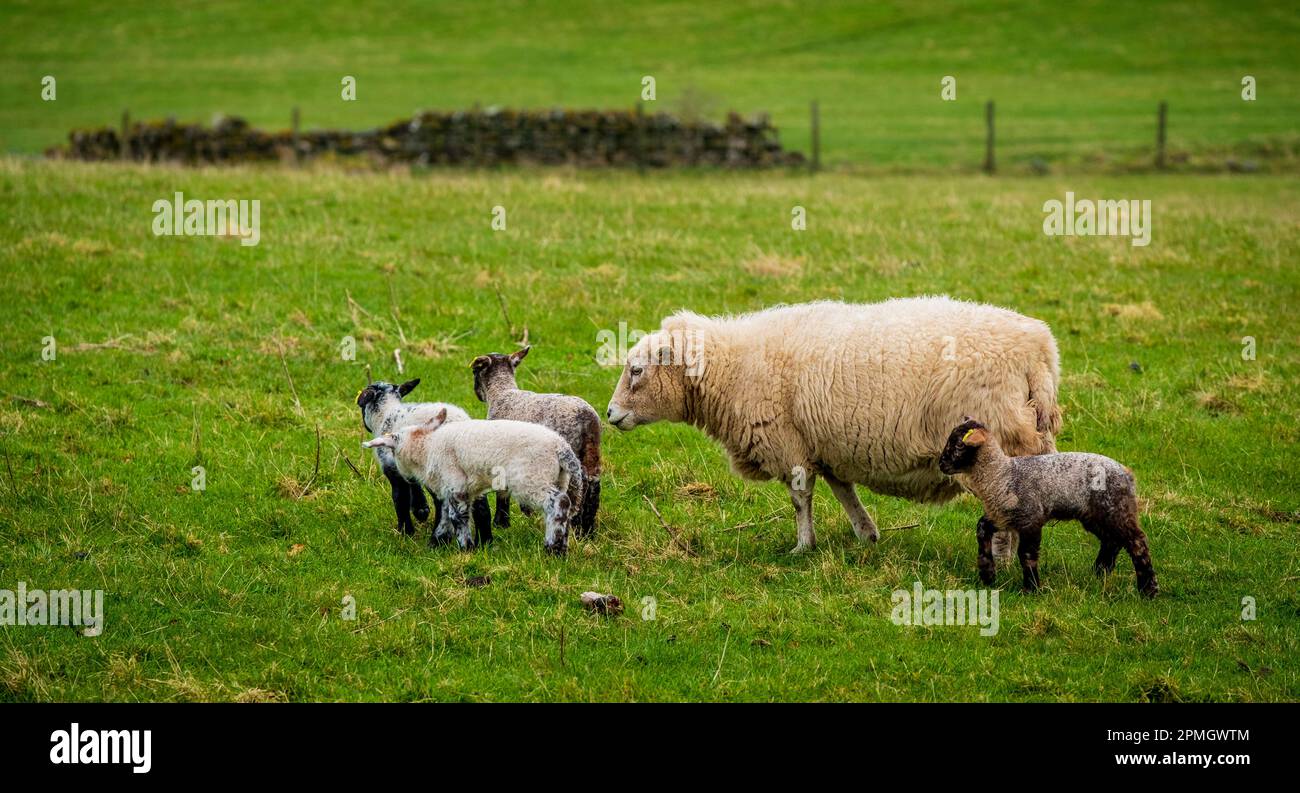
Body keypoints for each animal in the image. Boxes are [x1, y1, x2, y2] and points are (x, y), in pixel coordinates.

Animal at [356, 379, 490, 544]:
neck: (386, 414)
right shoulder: (408, 468)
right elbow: (414, 486)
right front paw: (421, 510)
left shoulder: (393, 469)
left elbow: (400, 499)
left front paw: (405, 532)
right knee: (481, 504)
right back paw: (485, 541)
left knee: (442, 504)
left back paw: (438, 540)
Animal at [363, 408, 584, 555]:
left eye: (392, 450)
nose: (400, 473)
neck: (426, 447)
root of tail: (561, 447)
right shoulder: (453, 489)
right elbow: (445, 516)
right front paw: (437, 542)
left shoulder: (455, 484)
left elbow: (457, 516)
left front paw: (466, 548)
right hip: (559, 477)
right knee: (563, 507)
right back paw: (562, 546)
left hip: (532, 477)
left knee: (558, 503)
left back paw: (552, 548)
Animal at [471, 346, 602, 536]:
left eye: (475, 371)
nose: (477, 395)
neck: (502, 392)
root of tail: (588, 420)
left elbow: (503, 491)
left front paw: (501, 523)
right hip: (593, 455)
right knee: (593, 487)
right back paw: (587, 531)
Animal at [605, 297, 1062, 554]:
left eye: (637, 371)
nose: (610, 414)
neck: (733, 368)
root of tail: (1039, 349)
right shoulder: (826, 444)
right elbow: (844, 491)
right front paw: (866, 534)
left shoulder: (787, 442)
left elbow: (800, 498)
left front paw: (802, 546)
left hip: (999, 437)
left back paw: (1003, 556)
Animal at [939, 417, 1158, 597]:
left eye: (958, 445)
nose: (941, 464)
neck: (1000, 475)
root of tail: (1127, 474)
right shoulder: (1003, 516)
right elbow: (981, 528)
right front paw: (987, 574)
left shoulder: (1030, 519)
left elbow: (1026, 555)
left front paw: (1031, 588)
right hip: (1094, 515)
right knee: (1112, 541)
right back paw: (1098, 573)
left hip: (1115, 509)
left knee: (1137, 541)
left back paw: (1148, 589)